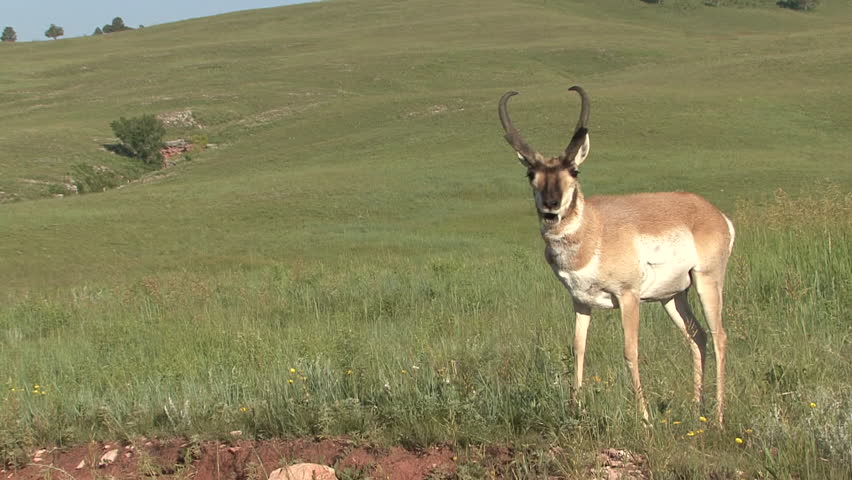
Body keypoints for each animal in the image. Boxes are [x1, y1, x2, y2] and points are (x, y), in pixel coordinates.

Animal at [498, 86, 734, 424]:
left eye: (574, 170)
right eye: (531, 173)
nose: (551, 206)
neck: (594, 229)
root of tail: (713, 213)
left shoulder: (628, 296)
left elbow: (629, 350)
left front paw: (645, 419)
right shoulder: (580, 302)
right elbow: (578, 348)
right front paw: (576, 410)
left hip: (707, 283)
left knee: (719, 336)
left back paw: (717, 417)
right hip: (672, 296)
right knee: (697, 336)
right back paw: (696, 409)